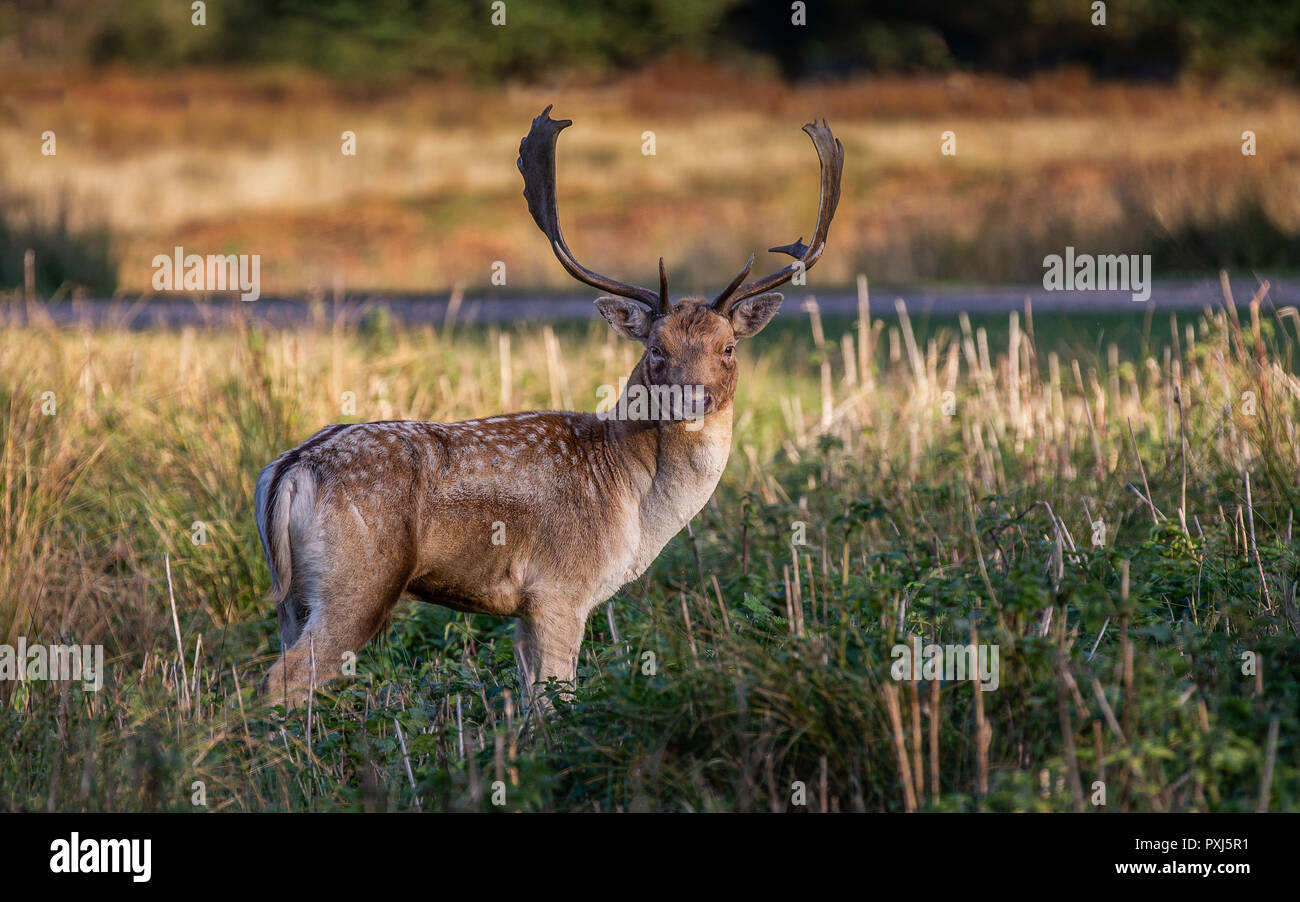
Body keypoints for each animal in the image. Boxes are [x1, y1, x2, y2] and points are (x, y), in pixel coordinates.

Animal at [255, 105, 842, 707]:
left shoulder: (523, 610)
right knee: (282, 680)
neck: (633, 501)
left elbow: (532, 700)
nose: (690, 397)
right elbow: (559, 697)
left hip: (292, 596)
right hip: (359, 579)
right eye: (656, 348)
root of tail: (292, 468)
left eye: (728, 348)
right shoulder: (561, 587)